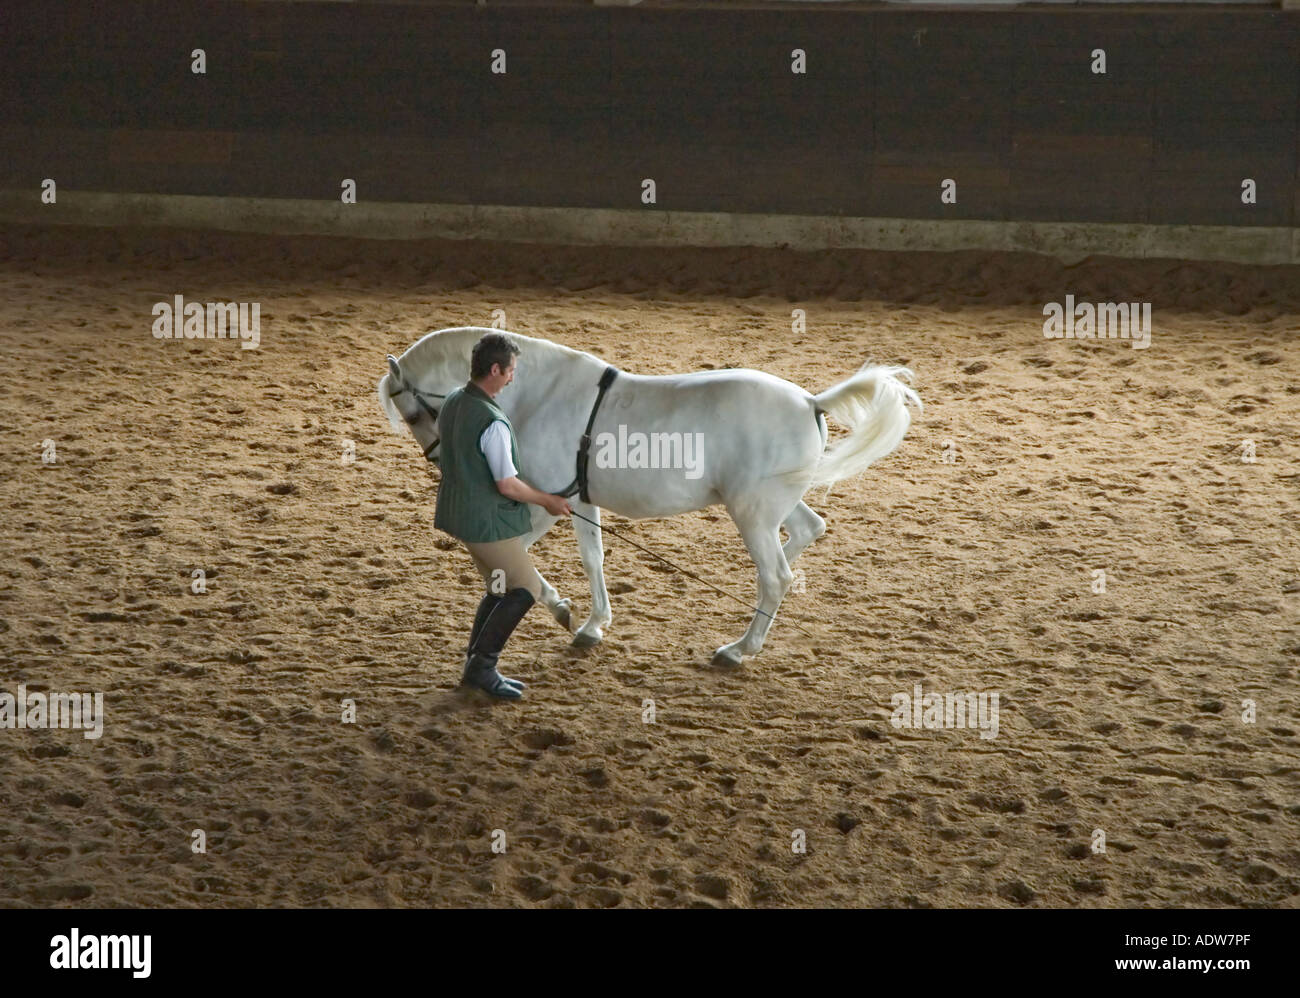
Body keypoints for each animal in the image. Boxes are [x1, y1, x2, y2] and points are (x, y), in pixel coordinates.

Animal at [378, 326, 921, 666]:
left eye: (413, 414)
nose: (438, 460)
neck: (541, 394)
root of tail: (811, 401)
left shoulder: (550, 499)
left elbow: (529, 555)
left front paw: (563, 609)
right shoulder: (579, 501)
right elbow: (590, 558)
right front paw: (593, 623)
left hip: (751, 513)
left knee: (775, 577)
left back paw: (738, 650)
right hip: (772, 506)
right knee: (809, 530)